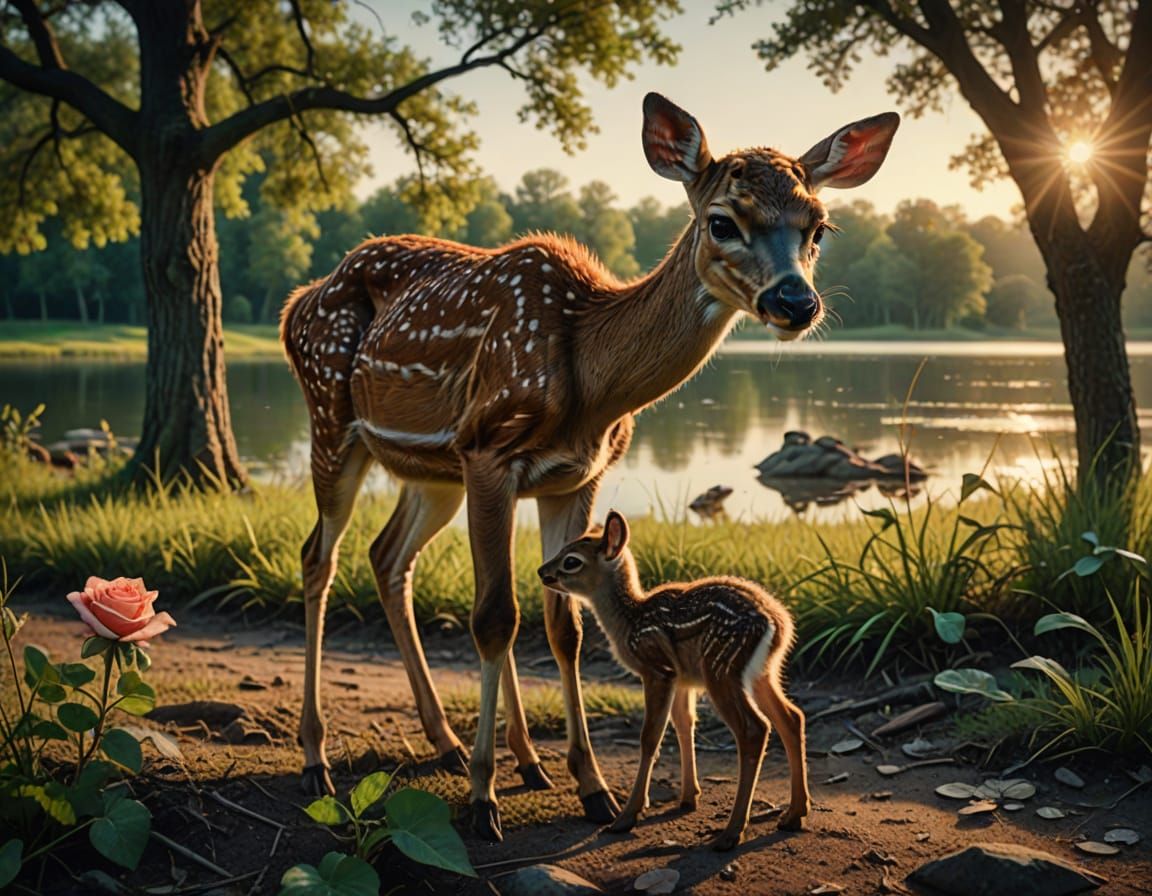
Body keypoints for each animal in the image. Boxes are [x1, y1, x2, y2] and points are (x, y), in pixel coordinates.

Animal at [538, 510, 808, 851]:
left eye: (571, 560)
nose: (541, 571)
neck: (629, 622)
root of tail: (777, 623)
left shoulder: (658, 669)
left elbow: (650, 736)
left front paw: (627, 816)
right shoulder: (682, 678)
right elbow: (684, 723)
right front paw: (688, 798)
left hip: (720, 667)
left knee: (754, 728)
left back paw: (731, 833)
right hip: (762, 672)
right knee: (792, 717)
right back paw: (793, 815)